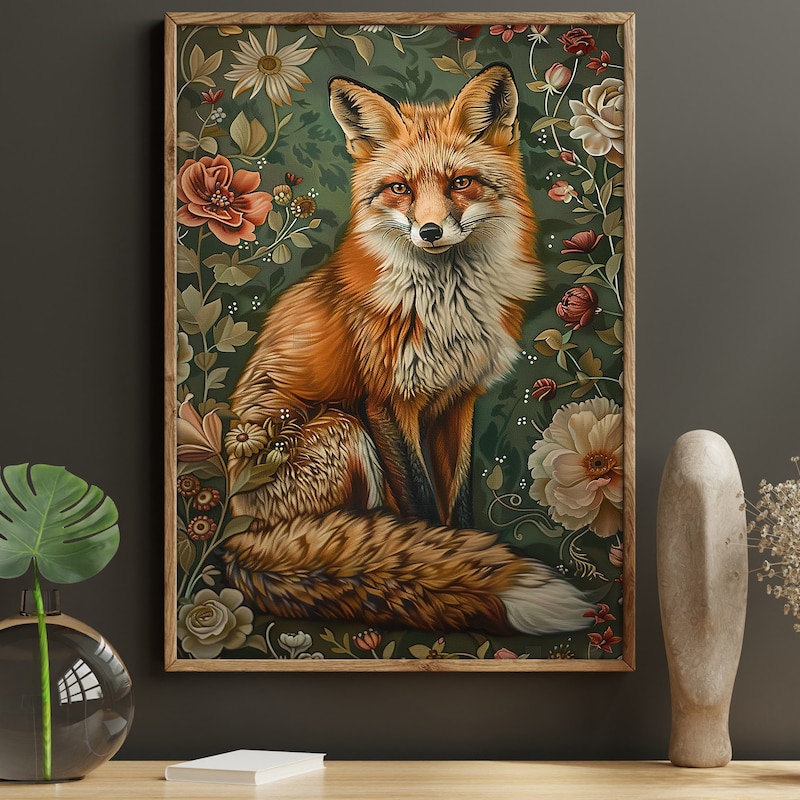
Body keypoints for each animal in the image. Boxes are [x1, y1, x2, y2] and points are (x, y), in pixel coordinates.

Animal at [223, 63, 597, 637]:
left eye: (460, 182)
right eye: (400, 188)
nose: (430, 230)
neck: (447, 311)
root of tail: (236, 539)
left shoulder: (458, 401)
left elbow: (456, 501)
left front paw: (461, 552)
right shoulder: (386, 403)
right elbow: (420, 505)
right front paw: (443, 565)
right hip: (342, 428)